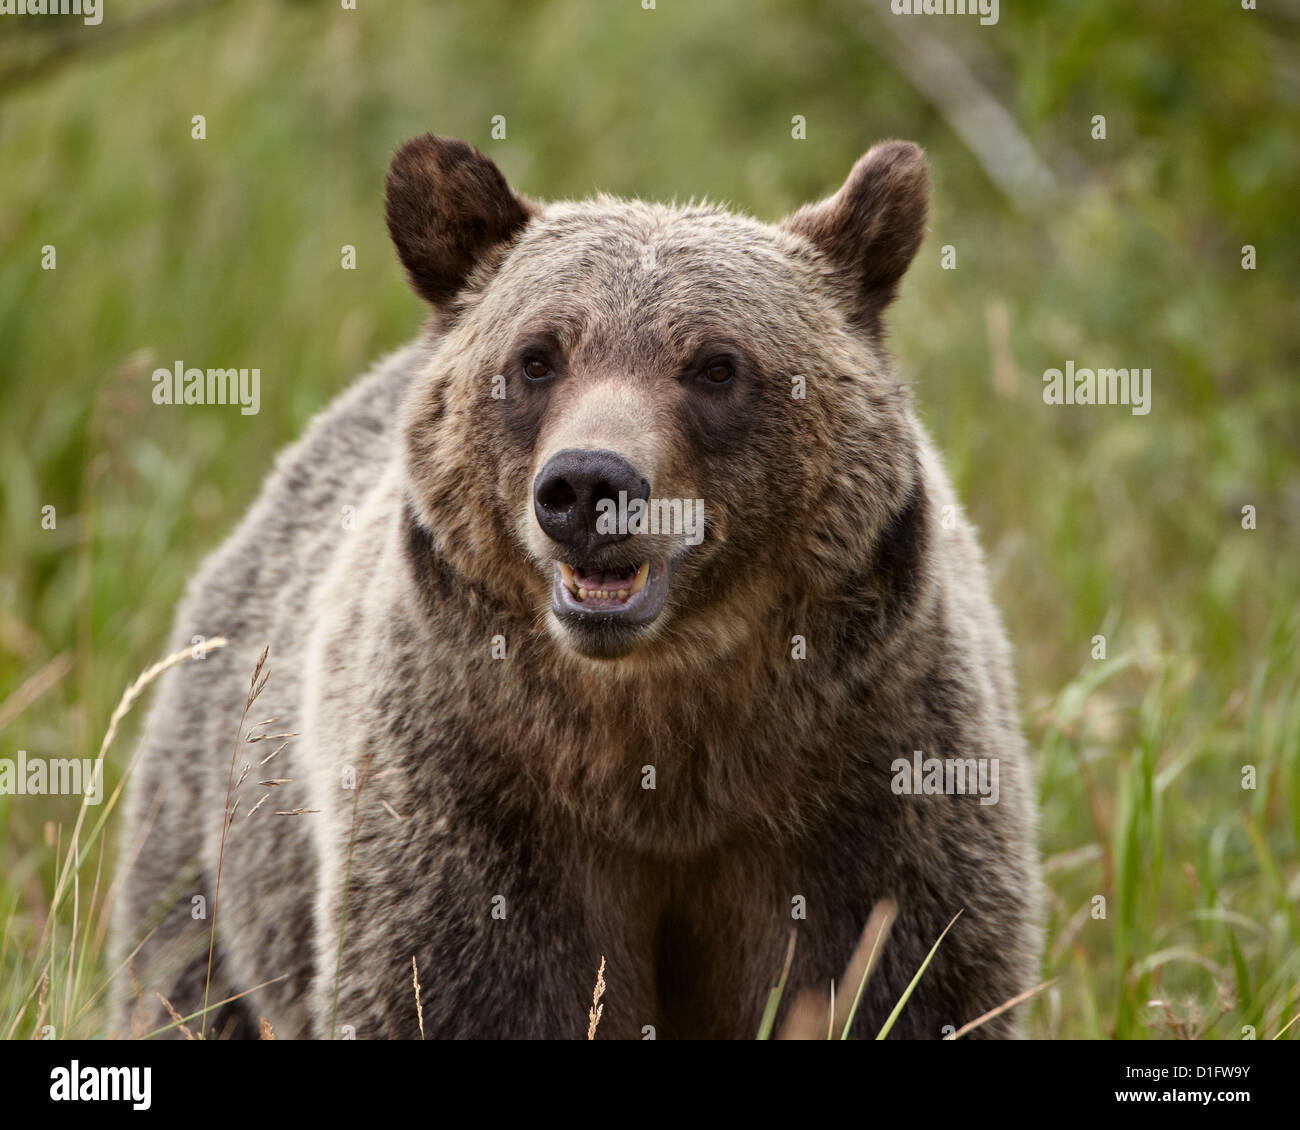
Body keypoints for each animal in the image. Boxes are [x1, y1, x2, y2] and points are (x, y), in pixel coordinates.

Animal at [112, 133, 1042, 1040]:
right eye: (537, 358)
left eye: (716, 365)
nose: (588, 483)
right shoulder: (480, 794)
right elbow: (461, 991)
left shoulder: (870, 784)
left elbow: (898, 980)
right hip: (217, 817)